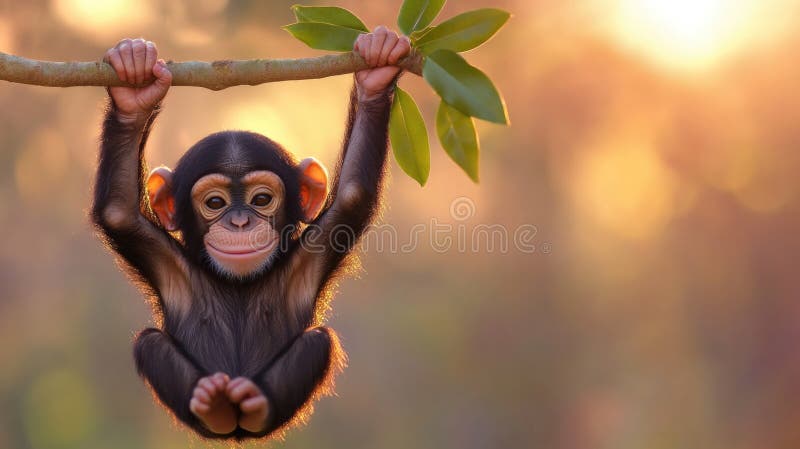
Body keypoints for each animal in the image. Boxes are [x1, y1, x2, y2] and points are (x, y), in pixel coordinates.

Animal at [91, 28, 410, 440]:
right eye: (215, 202)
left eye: (261, 199)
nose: (240, 222)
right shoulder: (162, 258)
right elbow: (119, 210)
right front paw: (133, 87)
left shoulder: (318, 245)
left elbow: (353, 193)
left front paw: (376, 73)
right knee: (150, 342)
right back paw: (214, 405)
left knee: (319, 341)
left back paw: (252, 405)